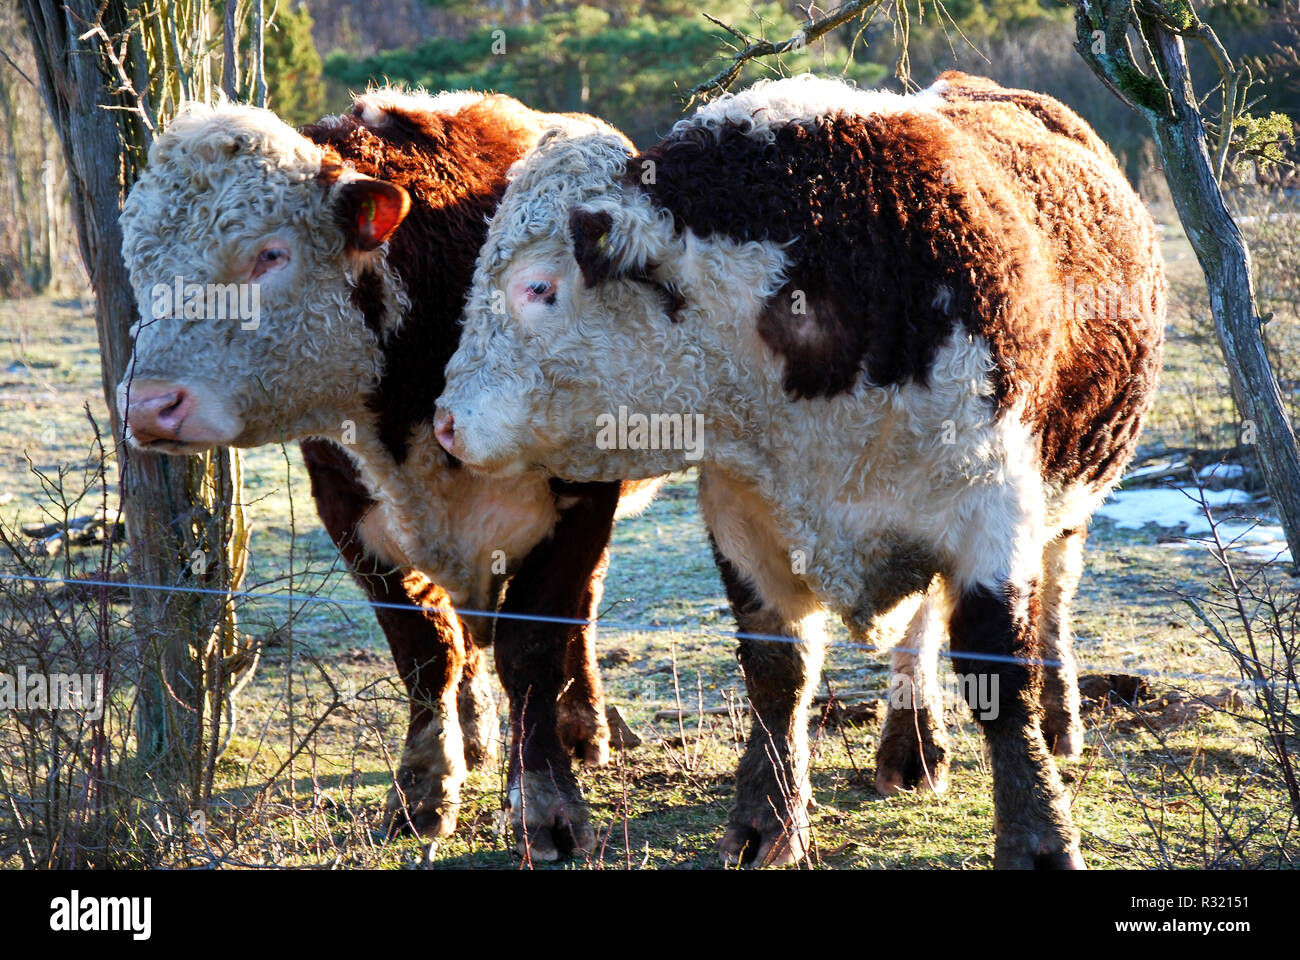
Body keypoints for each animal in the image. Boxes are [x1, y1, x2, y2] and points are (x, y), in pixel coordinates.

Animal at [116, 90, 656, 860]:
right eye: (140, 264)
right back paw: (474, 737)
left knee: (578, 610)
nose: (149, 405)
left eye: (270, 253)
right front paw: (425, 792)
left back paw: (581, 725)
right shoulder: (351, 515)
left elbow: (534, 643)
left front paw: (547, 804)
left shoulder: (578, 505)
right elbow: (424, 652)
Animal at [434, 72, 1166, 868]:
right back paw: (912, 742)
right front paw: (767, 819)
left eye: (538, 287)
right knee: (918, 625)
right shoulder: (744, 515)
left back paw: (1057, 718)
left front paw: (1038, 833)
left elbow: (999, 669)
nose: (445, 420)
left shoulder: (991, 508)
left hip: (1070, 494)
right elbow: (777, 672)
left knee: (1051, 596)